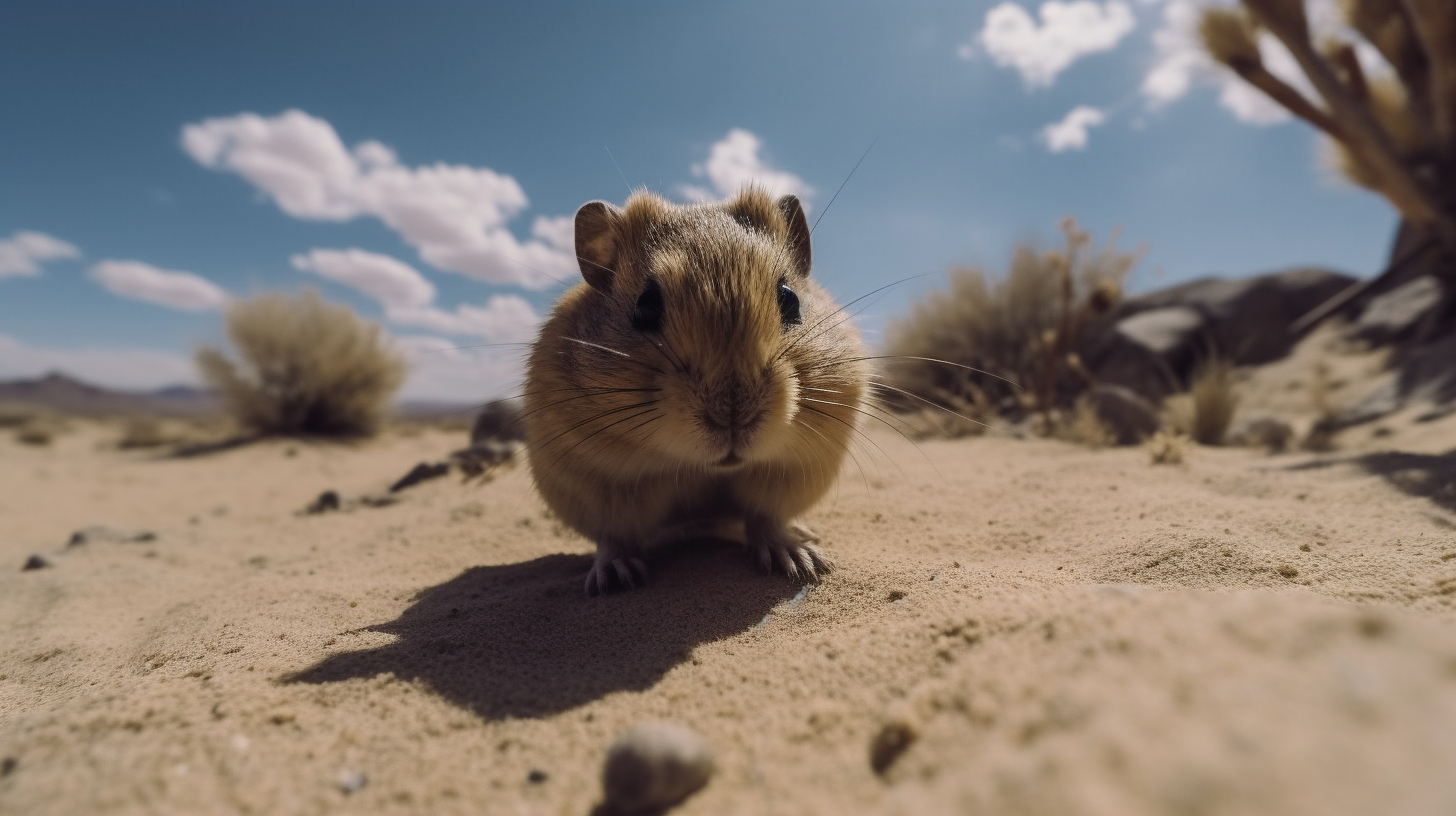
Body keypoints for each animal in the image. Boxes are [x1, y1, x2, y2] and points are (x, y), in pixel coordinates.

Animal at [523, 187, 867, 595]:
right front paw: (614, 578)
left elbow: (765, 519)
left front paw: (800, 561)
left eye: (789, 299)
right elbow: (613, 538)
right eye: (645, 305)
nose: (733, 415)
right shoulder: (597, 484)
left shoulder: (788, 470)